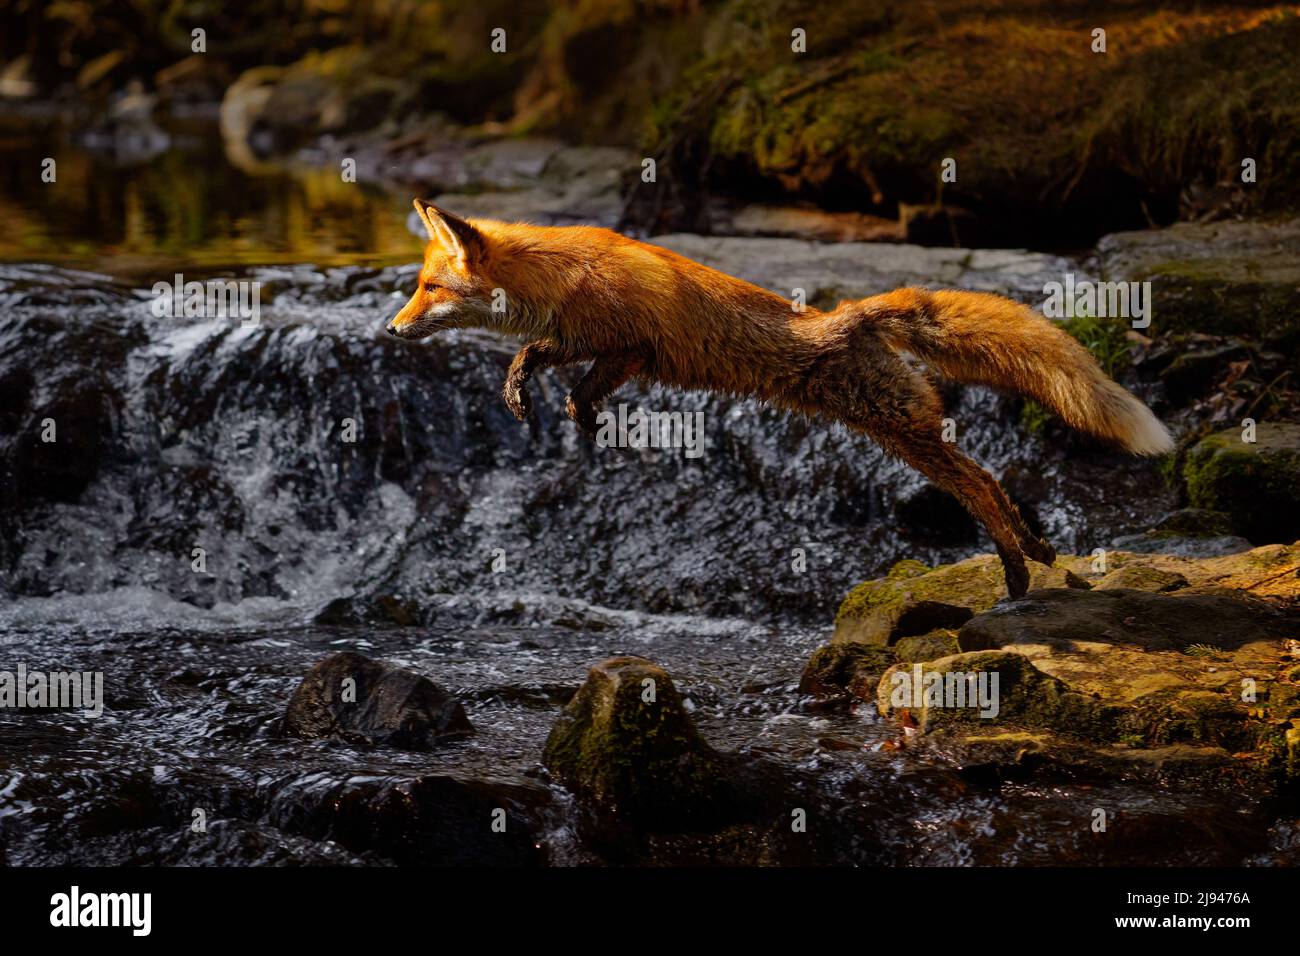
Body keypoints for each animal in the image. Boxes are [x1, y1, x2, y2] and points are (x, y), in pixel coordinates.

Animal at [386, 199, 1174, 598]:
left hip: (901, 430)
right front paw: (540, 400)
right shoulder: (594, 342)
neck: (561, 278)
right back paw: (1035, 552)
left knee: (979, 487)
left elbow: (565, 372)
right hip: (902, 430)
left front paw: (572, 410)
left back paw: (1017, 567)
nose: (391, 330)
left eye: (428, 288)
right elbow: (541, 359)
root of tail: (853, 313)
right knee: (986, 477)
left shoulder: (630, 347)